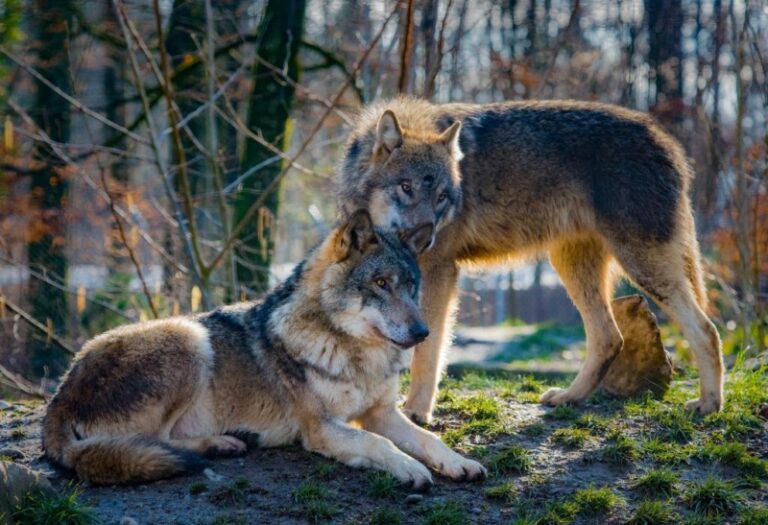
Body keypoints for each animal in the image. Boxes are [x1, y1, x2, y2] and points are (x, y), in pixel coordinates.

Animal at [42, 210, 486, 487]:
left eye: (411, 286)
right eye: (380, 284)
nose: (423, 332)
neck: (355, 353)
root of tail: (60, 396)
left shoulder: (381, 413)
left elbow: (428, 439)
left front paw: (459, 462)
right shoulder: (321, 428)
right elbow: (380, 444)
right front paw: (410, 469)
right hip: (189, 337)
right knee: (155, 441)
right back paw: (220, 444)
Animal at [338, 97, 723, 423]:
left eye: (442, 197)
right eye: (406, 187)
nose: (426, 237)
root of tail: (667, 140)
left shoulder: (438, 271)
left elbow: (427, 350)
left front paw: (416, 412)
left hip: (642, 267)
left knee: (706, 329)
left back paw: (709, 404)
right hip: (573, 267)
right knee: (609, 337)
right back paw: (569, 397)